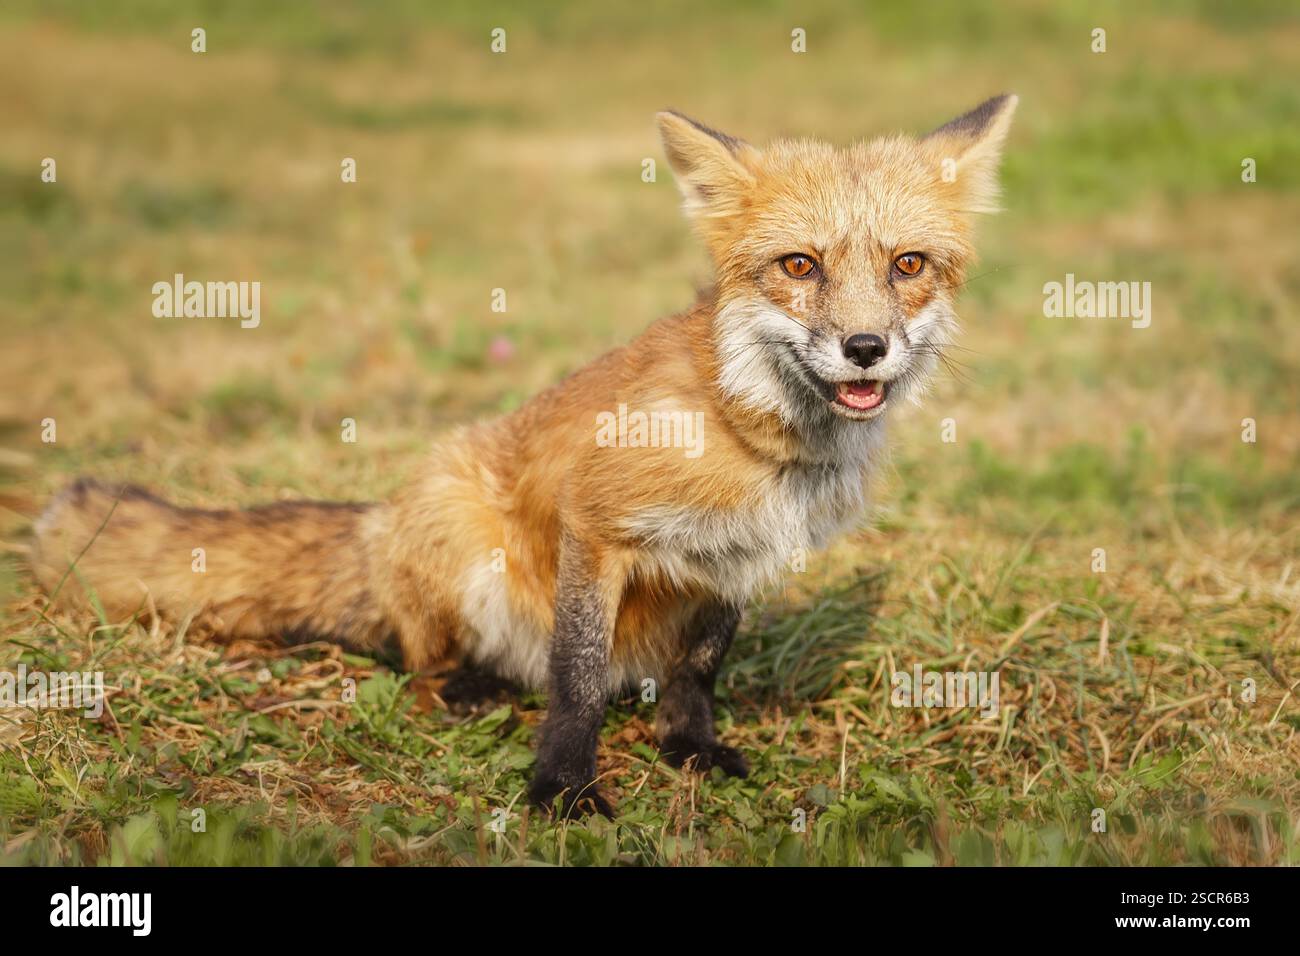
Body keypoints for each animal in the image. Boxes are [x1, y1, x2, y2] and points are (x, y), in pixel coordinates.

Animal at [31, 94, 1018, 816]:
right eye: (800, 266)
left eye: (908, 264)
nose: (865, 349)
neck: (752, 438)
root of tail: (380, 527)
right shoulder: (598, 526)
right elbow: (576, 682)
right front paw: (562, 790)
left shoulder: (737, 565)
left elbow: (697, 672)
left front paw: (688, 751)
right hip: (460, 531)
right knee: (420, 661)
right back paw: (469, 688)